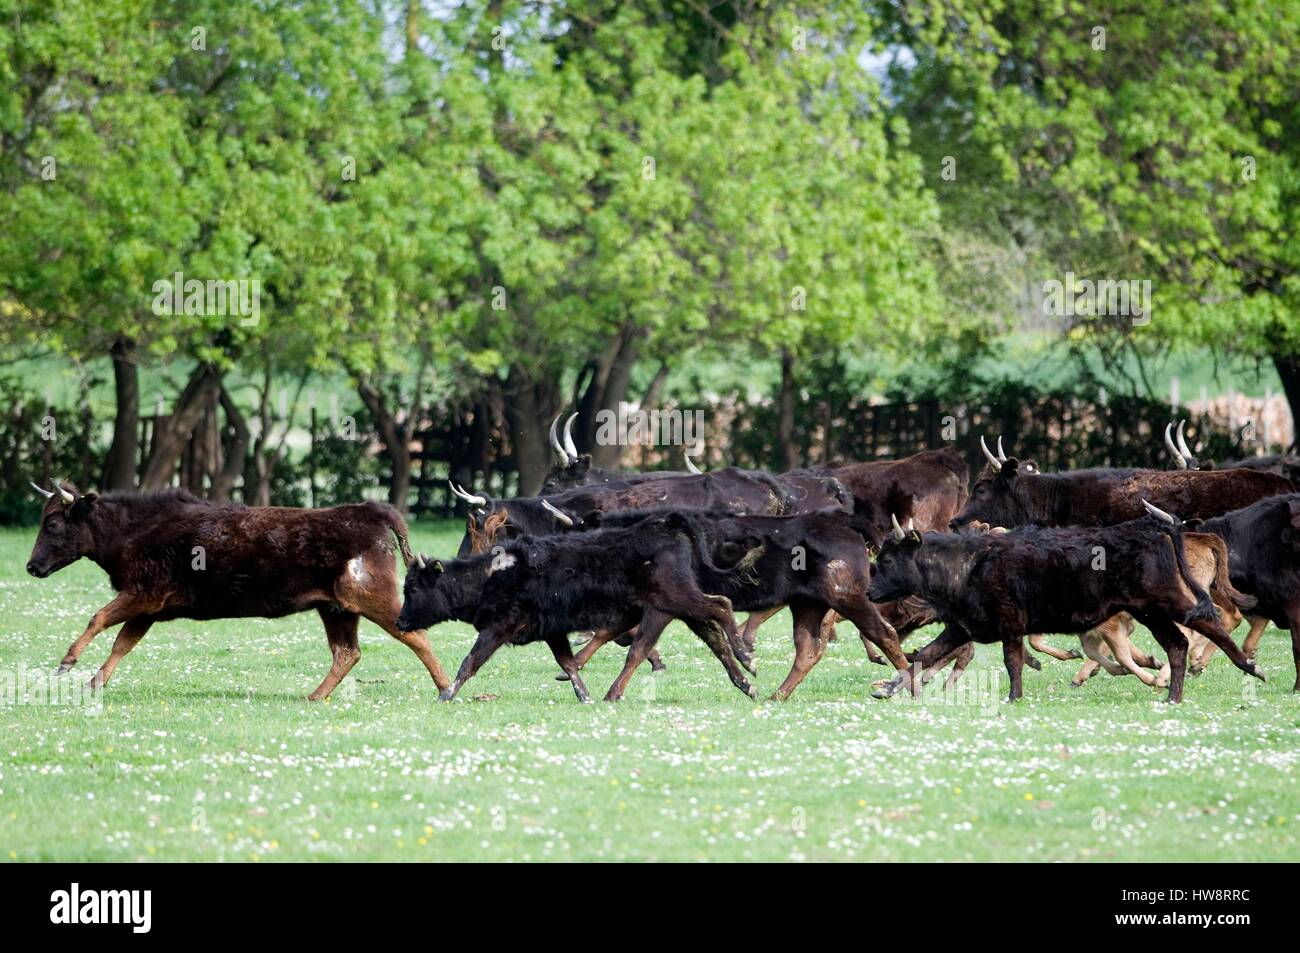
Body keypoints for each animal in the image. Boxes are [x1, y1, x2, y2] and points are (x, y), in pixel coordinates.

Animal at [24, 482, 449, 699]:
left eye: (53, 524)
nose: (32, 566)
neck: (133, 529)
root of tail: (372, 511)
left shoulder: (143, 596)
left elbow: (98, 619)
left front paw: (68, 662)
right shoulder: (148, 609)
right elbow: (121, 644)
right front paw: (95, 682)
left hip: (372, 599)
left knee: (416, 637)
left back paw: (446, 688)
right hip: (336, 609)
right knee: (347, 653)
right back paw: (314, 696)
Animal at [400, 515, 757, 702]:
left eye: (413, 588)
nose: (400, 621)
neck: (494, 575)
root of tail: (667, 525)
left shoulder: (499, 627)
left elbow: (471, 661)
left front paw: (446, 694)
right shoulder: (552, 630)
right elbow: (568, 663)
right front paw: (584, 695)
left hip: (673, 600)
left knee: (720, 607)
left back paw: (746, 656)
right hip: (678, 606)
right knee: (713, 636)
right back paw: (745, 682)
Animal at [868, 504, 1265, 703]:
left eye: (887, 559)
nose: (870, 593)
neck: (970, 564)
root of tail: (1151, 528)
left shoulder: (1010, 624)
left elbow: (1013, 661)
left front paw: (1013, 696)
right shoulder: (961, 628)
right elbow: (923, 656)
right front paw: (888, 688)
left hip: (1167, 600)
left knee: (1209, 625)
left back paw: (1248, 666)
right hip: (1148, 611)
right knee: (1177, 644)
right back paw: (1172, 696)